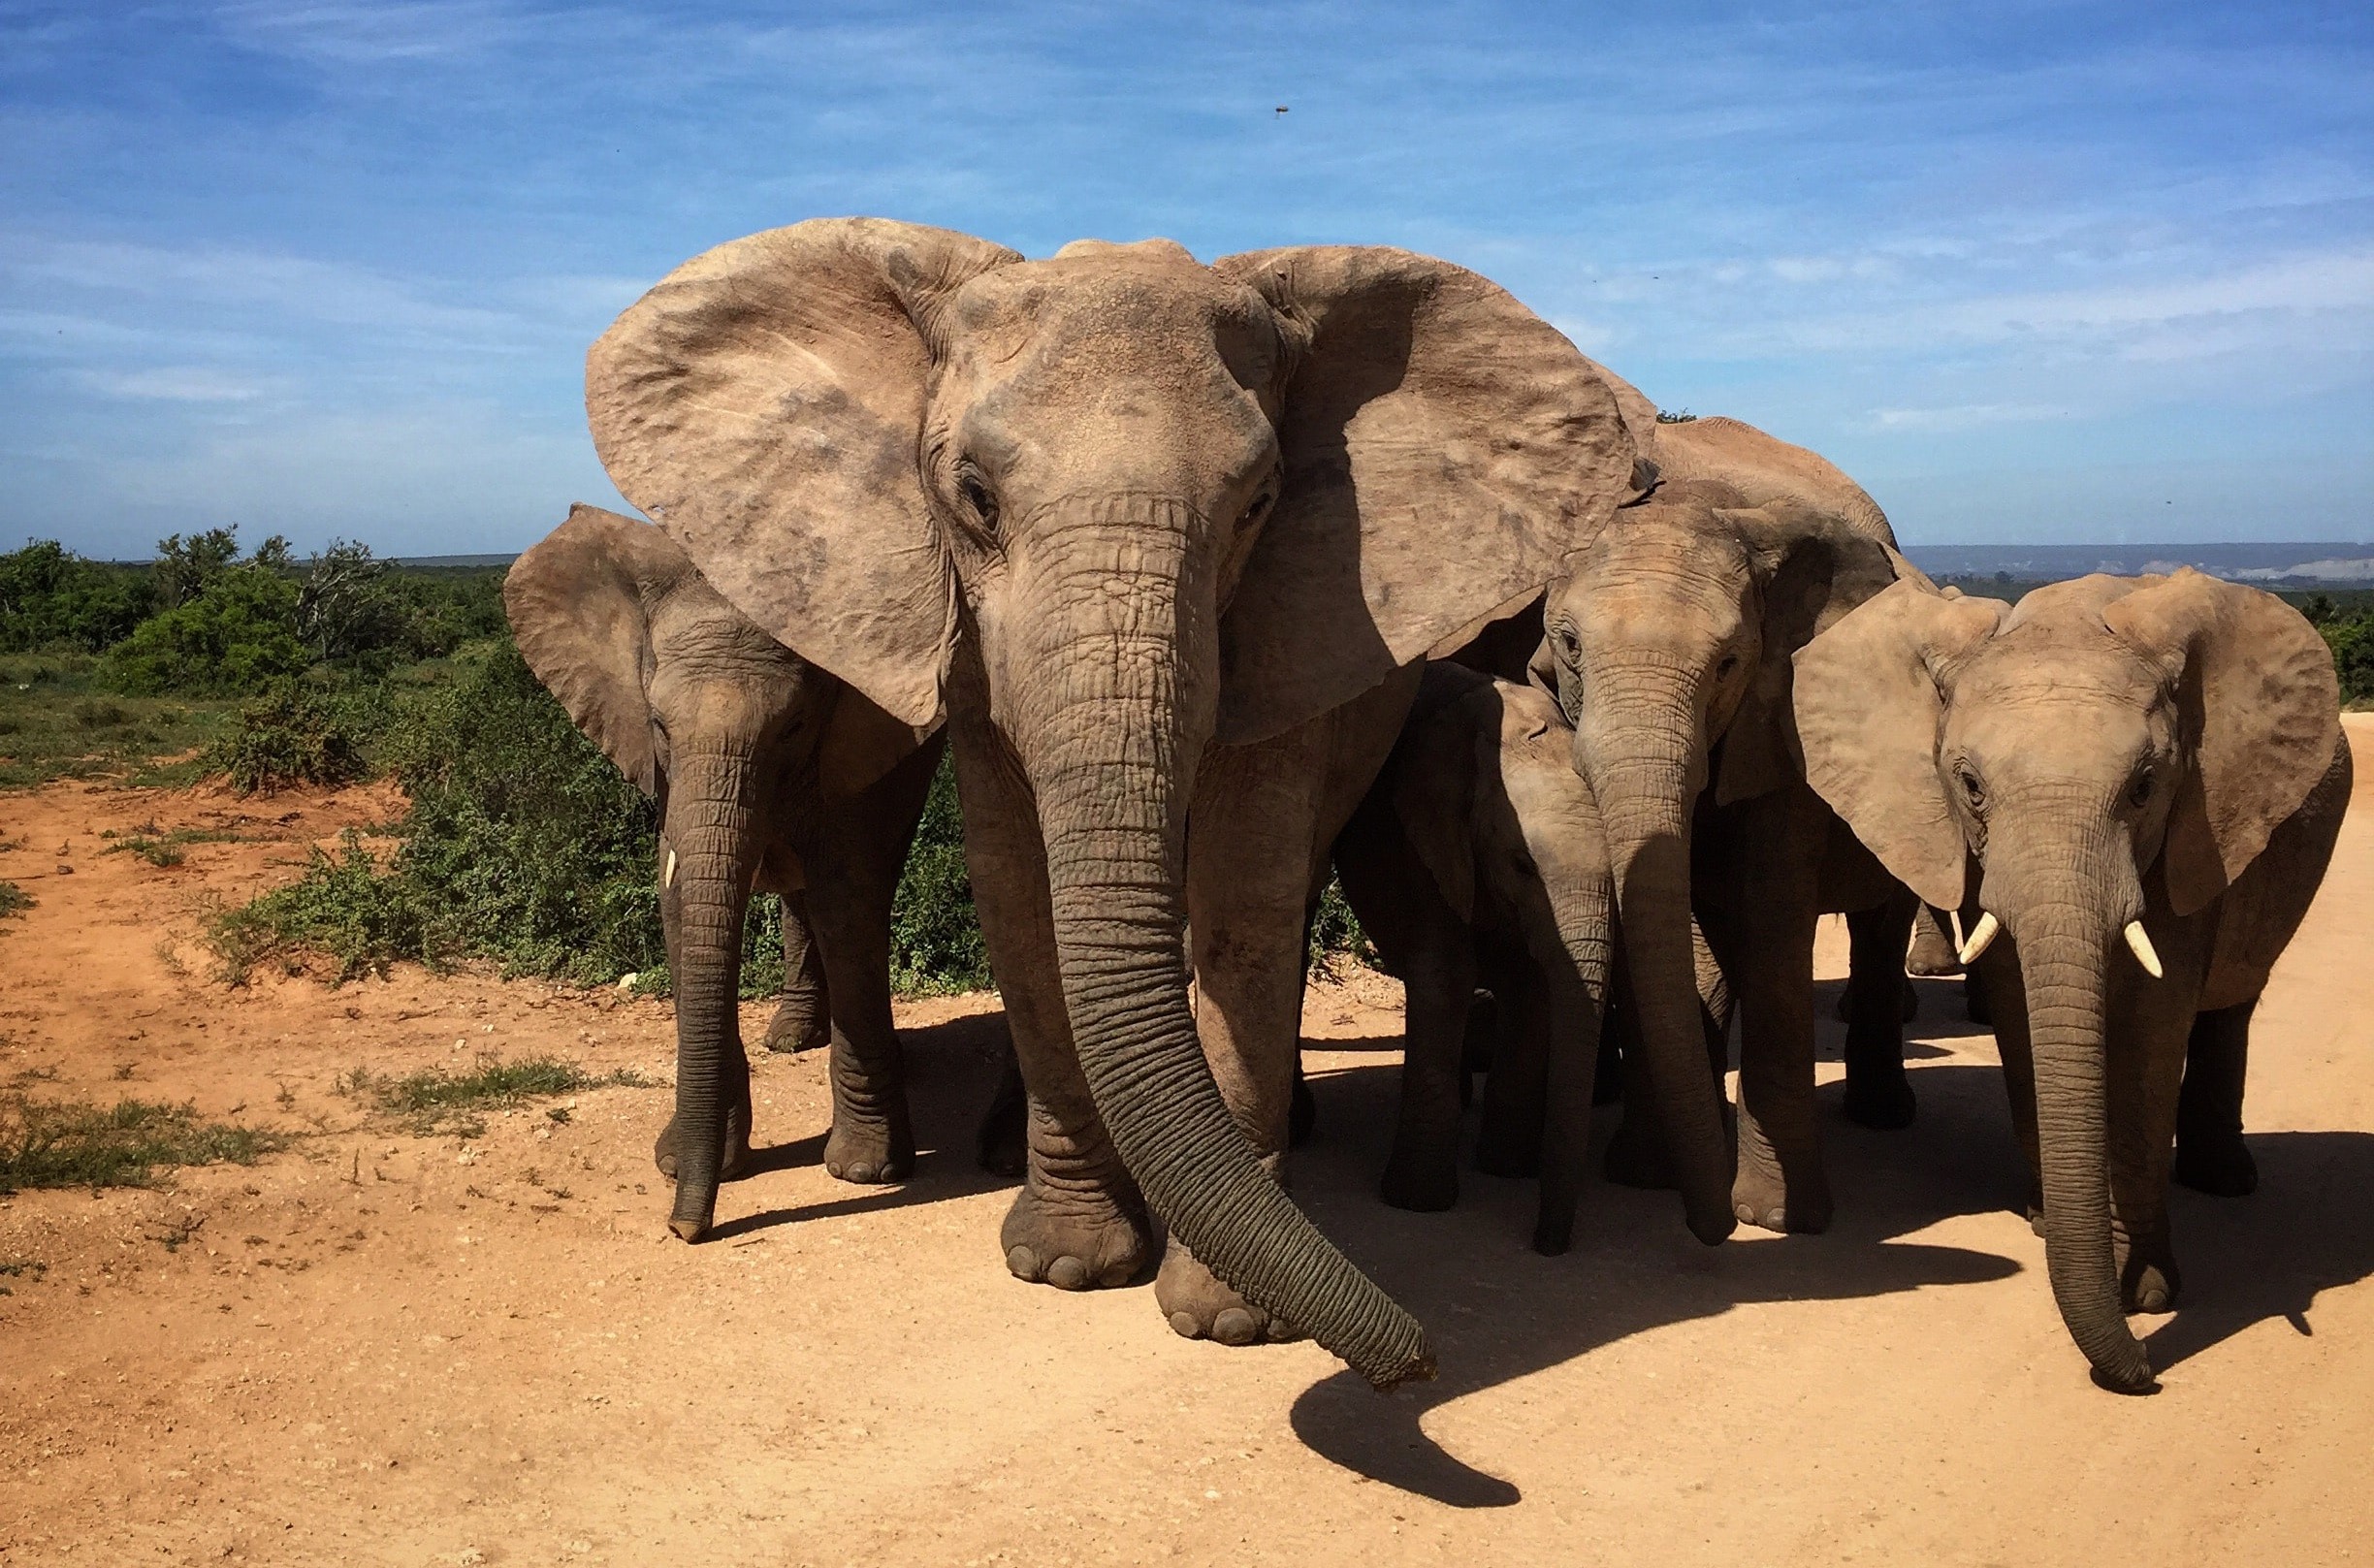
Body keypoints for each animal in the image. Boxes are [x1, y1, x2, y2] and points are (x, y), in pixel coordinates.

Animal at [505, 503, 943, 1241]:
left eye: (793, 726)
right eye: (657, 724)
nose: (685, 1230)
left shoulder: (857, 744)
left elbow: (847, 900)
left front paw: (865, 1170)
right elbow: (680, 903)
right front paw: (687, 1163)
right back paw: (791, 1039)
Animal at [584, 219, 1646, 1387]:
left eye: (1258, 504)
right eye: (975, 497)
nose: (1418, 1357)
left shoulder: (1287, 626)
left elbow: (1243, 904)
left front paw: (1230, 1318)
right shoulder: (970, 644)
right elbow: (1017, 895)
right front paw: (1068, 1265)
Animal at [1532, 456, 1921, 1239]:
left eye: (1729, 663)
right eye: (1570, 645)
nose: (1707, 1229)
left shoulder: (1786, 716)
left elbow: (1772, 923)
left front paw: (1775, 1219)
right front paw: (1647, 1179)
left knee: (1880, 925)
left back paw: (1882, 1117)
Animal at [1793, 570, 2350, 1392]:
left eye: (2146, 786)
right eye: (1970, 785)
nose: (2146, 1370)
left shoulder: (2192, 825)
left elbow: (2151, 1029)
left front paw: (2143, 1291)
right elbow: (2020, 1007)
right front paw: (2048, 1224)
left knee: (2232, 1004)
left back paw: (2223, 1180)